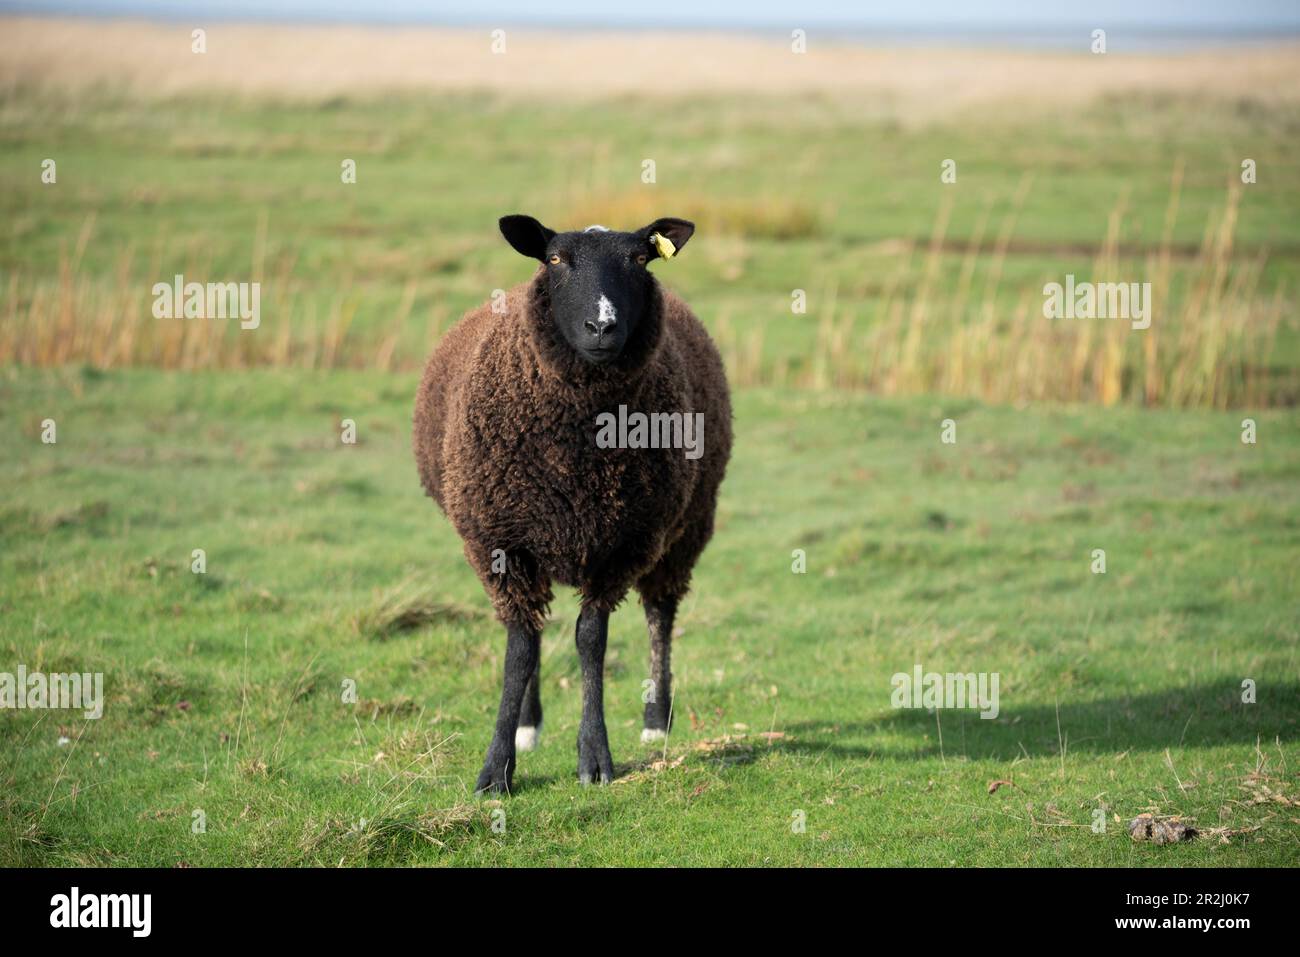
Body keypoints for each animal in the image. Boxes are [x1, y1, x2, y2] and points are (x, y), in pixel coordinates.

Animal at [413, 214, 732, 793]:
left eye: (639, 258)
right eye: (557, 260)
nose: (601, 327)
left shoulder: (620, 546)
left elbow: (591, 641)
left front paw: (595, 758)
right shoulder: (503, 542)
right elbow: (520, 649)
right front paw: (497, 766)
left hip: (689, 523)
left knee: (660, 612)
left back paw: (657, 719)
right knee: (534, 630)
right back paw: (528, 724)